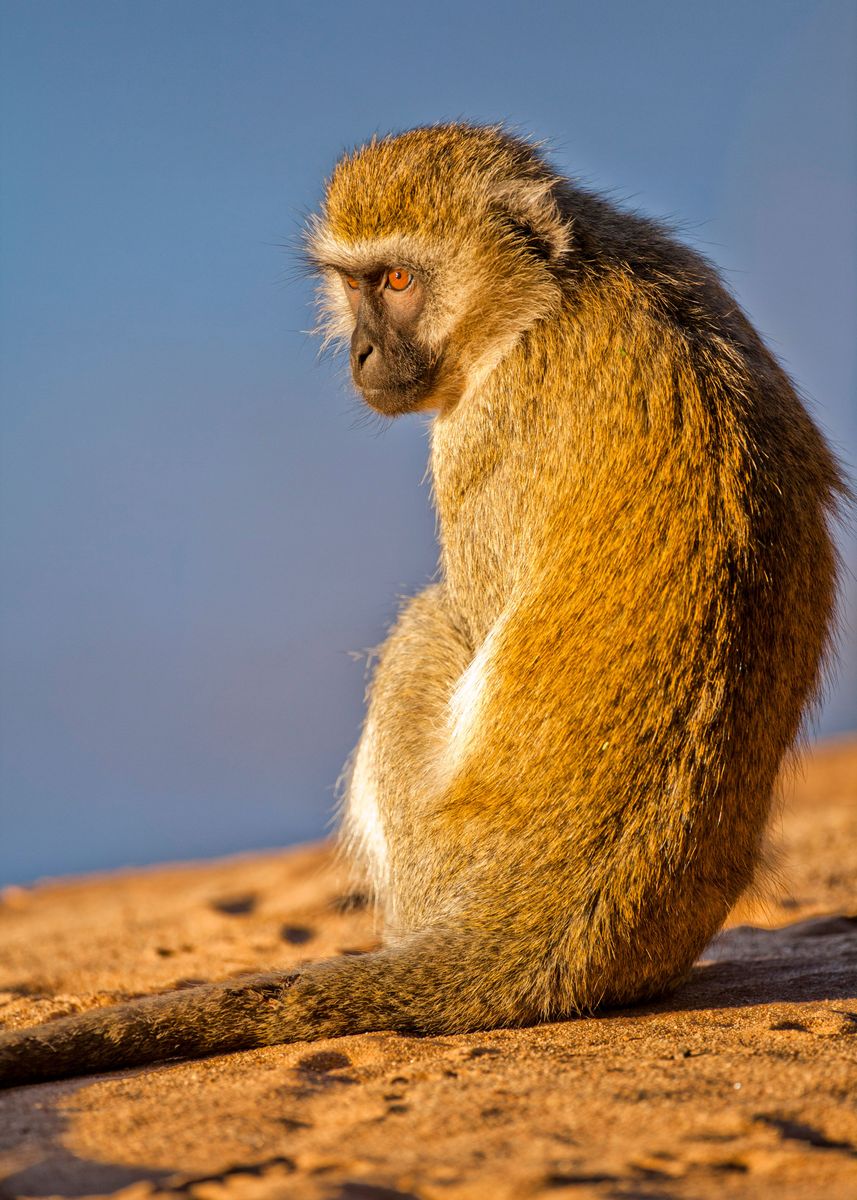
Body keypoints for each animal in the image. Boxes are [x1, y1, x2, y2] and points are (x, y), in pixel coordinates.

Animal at [0, 122, 845, 1089]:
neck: (557, 288)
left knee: (426, 627)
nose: (363, 356)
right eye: (354, 284)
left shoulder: (484, 422)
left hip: (431, 860)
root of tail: (535, 937)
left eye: (398, 282)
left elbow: (470, 613)